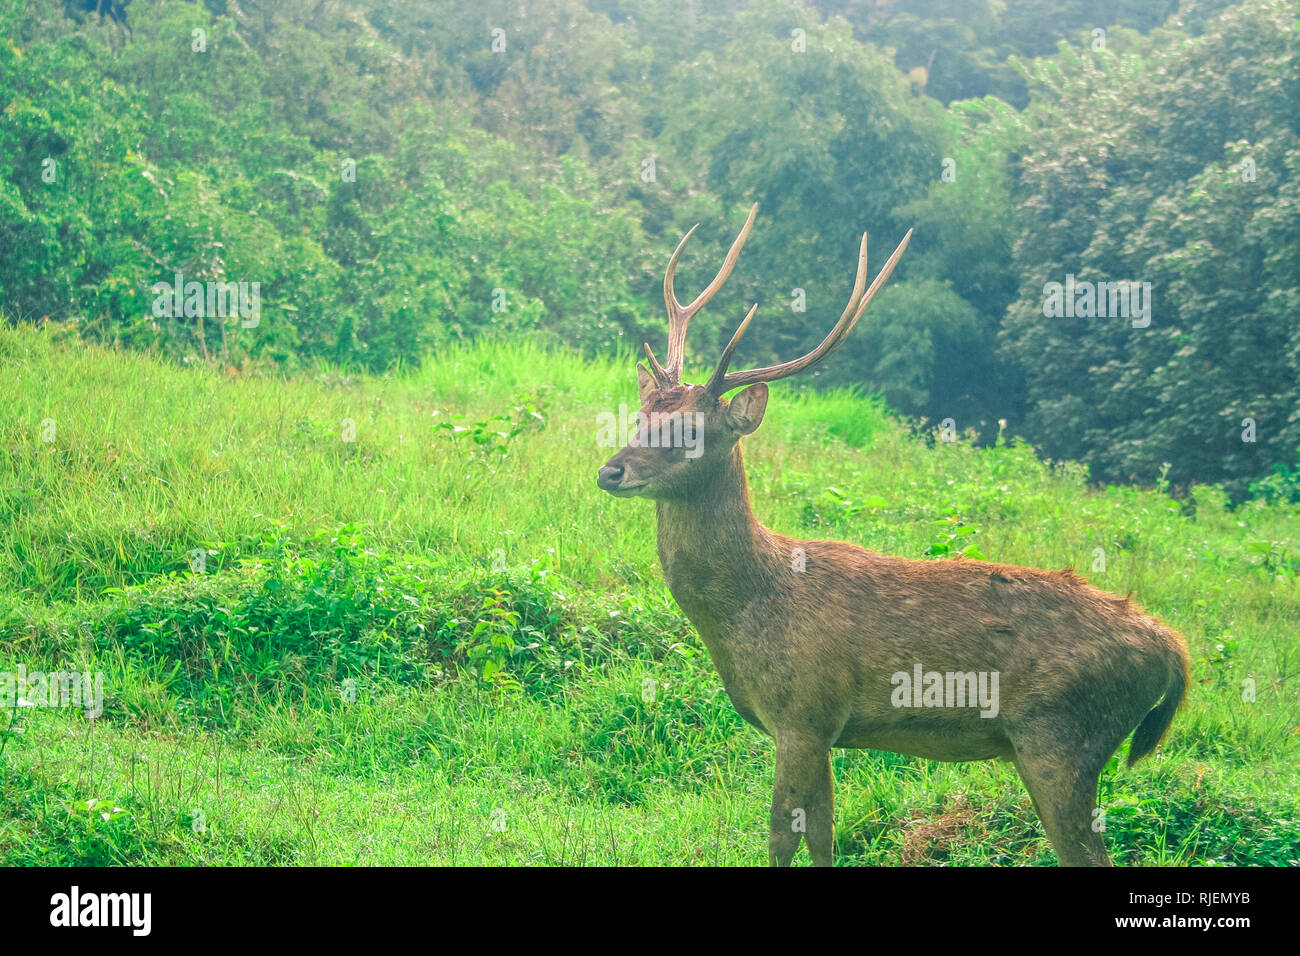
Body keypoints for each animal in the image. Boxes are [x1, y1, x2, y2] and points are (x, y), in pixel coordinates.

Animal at [596, 203, 1191, 866]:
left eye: (693, 431)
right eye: (641, 416)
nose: (610, 471)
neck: (748, 610)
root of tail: (1173, 651)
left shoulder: (803, 712)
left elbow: (782, 837)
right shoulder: (824, 729)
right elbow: (822, 835)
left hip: (1062, 734)